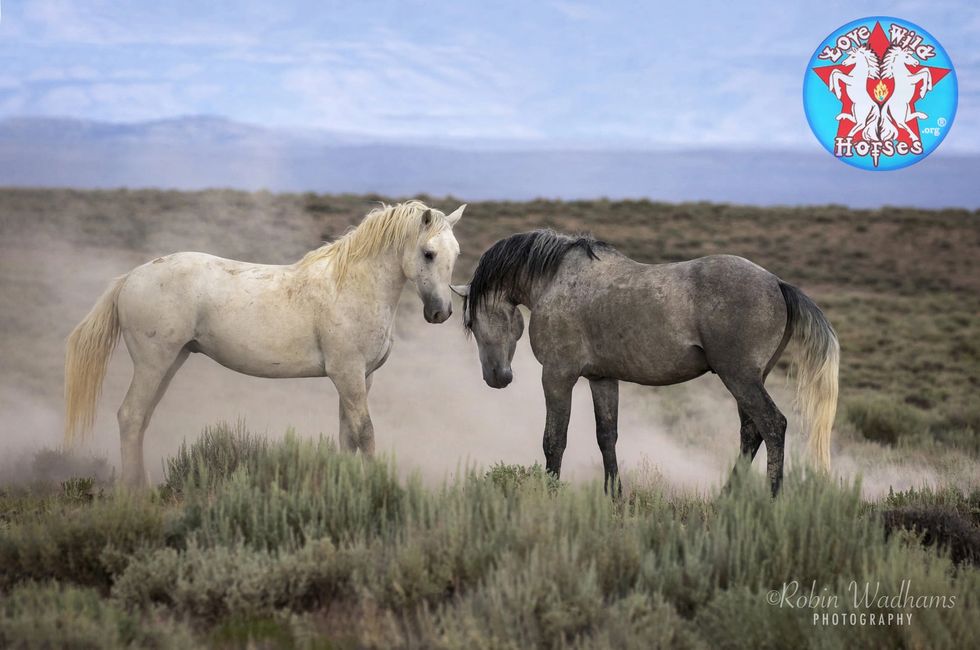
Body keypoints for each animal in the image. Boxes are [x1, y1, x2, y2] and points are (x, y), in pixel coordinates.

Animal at [65, 200, 465, 487]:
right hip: (153, 363)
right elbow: (364, 432)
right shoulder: (348, 374)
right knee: (130, 416)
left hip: (172, 361)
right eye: (428, 253)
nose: (441, 312)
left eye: (457, 254)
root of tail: (131, 276)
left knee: (141, 419)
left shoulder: (359, 377)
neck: (351, 285)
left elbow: (347, 434)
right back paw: (136, 491)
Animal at [452, 230, 839, 496]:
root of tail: (777, 283)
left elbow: (554, 439)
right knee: (751, 432)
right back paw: (727, 497)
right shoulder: (602, 378)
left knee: (773, 426)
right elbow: (606, 436)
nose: (496, 377)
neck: (554, 280)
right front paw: (614, 496)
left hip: (740, 377)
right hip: (749, 379)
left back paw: (771, 500)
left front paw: (551, 494)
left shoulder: (558, 377)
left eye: (472, 321)